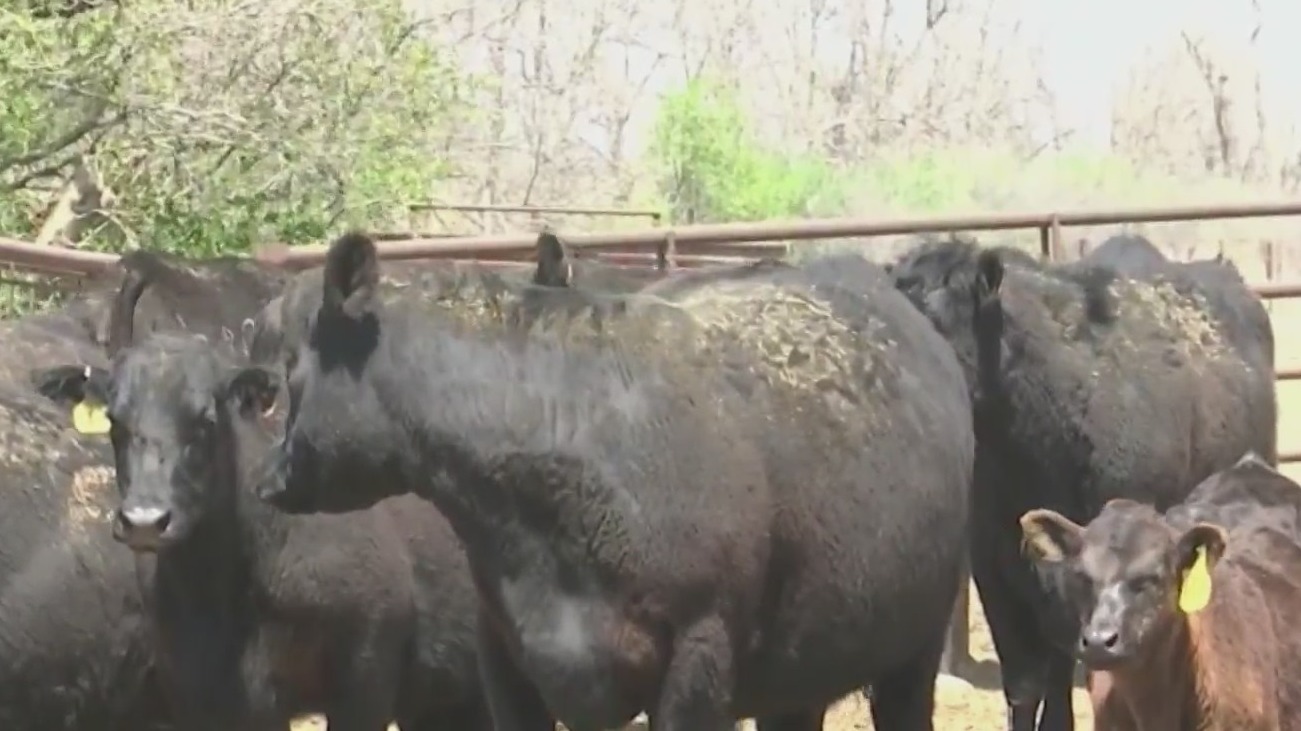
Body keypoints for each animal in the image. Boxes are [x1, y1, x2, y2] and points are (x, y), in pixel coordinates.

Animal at [253, 231, 974, 731]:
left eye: (281, 371)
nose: (261, 478)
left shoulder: (698, 657)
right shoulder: (508, 661)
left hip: (913, 649)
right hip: (805, 665)